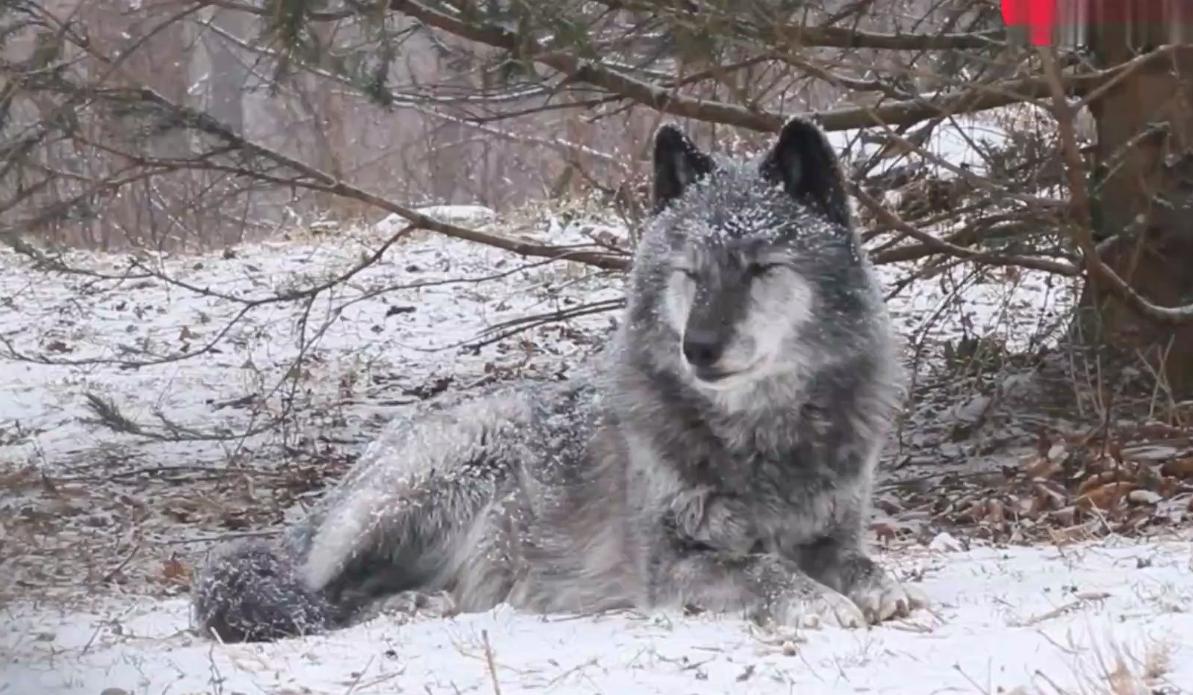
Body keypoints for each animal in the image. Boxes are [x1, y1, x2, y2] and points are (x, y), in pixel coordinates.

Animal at [192, 117, 921, 643]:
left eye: (763, 268)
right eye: (689, 273)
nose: (698, 348)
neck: (762, 438)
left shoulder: (833, 532)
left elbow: (858, 561)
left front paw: (876, 585)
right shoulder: (671, 564)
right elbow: (763, 565)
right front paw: (816, 601)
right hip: (436, 478)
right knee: (322, 595)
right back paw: (408, 604)